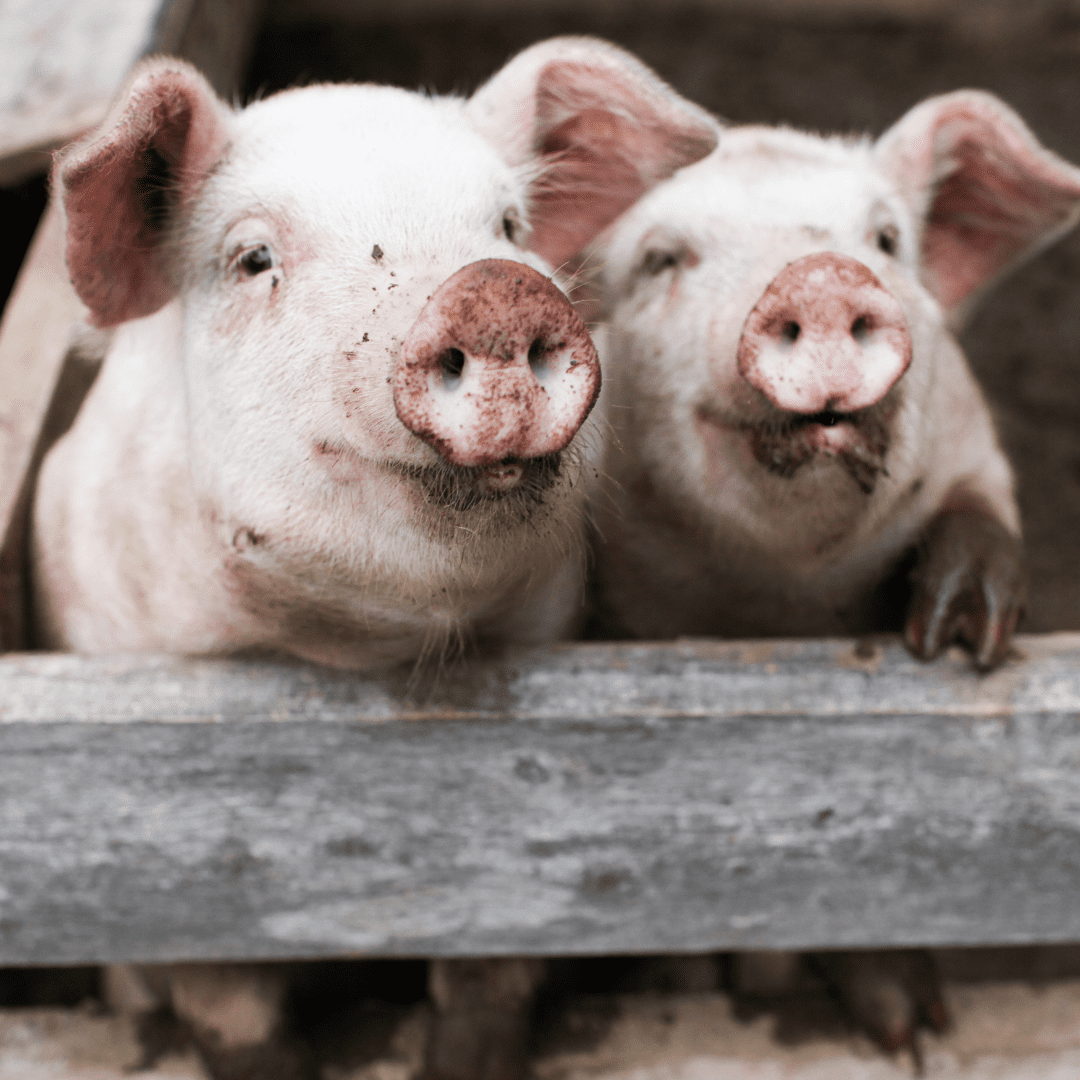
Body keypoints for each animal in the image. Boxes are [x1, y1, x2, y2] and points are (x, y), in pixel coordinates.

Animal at [30, 38, 717, 1080]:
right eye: (253, 257)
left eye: (508, 224)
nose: (496, 286)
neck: (358, 653)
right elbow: (228, 1001)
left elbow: (490, 977)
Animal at [587, 91, 1080, 1059]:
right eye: (661, 259)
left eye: (884, 239)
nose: (817, 276)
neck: (782, 603)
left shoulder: (977, 450)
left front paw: (957, 635)